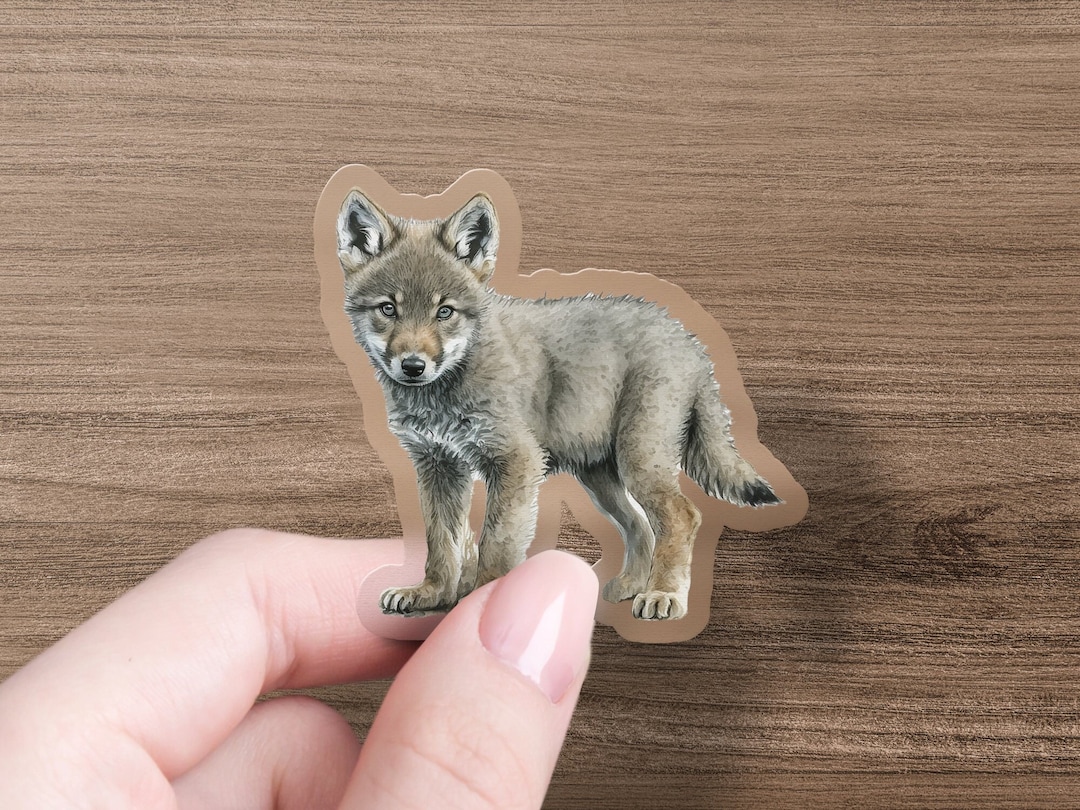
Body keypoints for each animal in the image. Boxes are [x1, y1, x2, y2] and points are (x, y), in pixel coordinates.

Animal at [337, 190, 780, 620]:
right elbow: (442, 543)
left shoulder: (516, 461)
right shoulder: (438, 465)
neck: (448, 385)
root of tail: (688, 338)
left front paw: (481, 601)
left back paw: (662, 595)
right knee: (639, 525)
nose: (413, 366)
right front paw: (432, 594)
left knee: (681, 516)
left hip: (639, 460)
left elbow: (495, 545)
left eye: (444, 311)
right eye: (388, 309)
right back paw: (628, 587)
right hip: (600, 477)